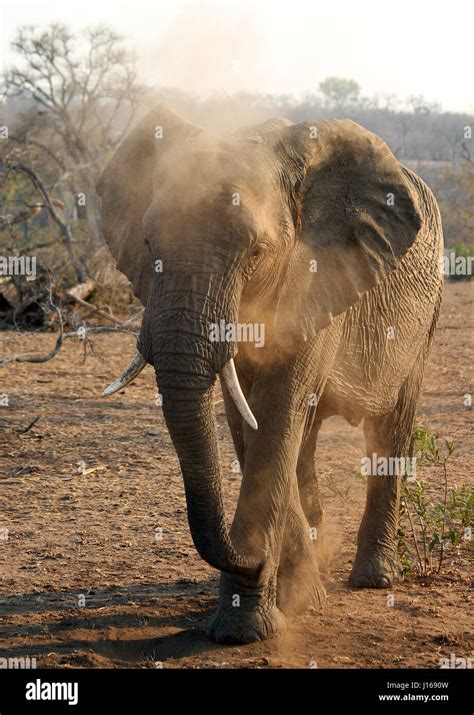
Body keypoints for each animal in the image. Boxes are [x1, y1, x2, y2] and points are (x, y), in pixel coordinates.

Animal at [96, 105, 444, 644]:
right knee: (308, 434)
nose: (254, 562)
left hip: (425, 317)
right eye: (149, 243)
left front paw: (249, 625)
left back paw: (375, 579)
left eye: (256, 253)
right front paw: (296, 595)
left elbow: (276, 414)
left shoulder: (320, 272)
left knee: (390, 424)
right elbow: (249, 420)